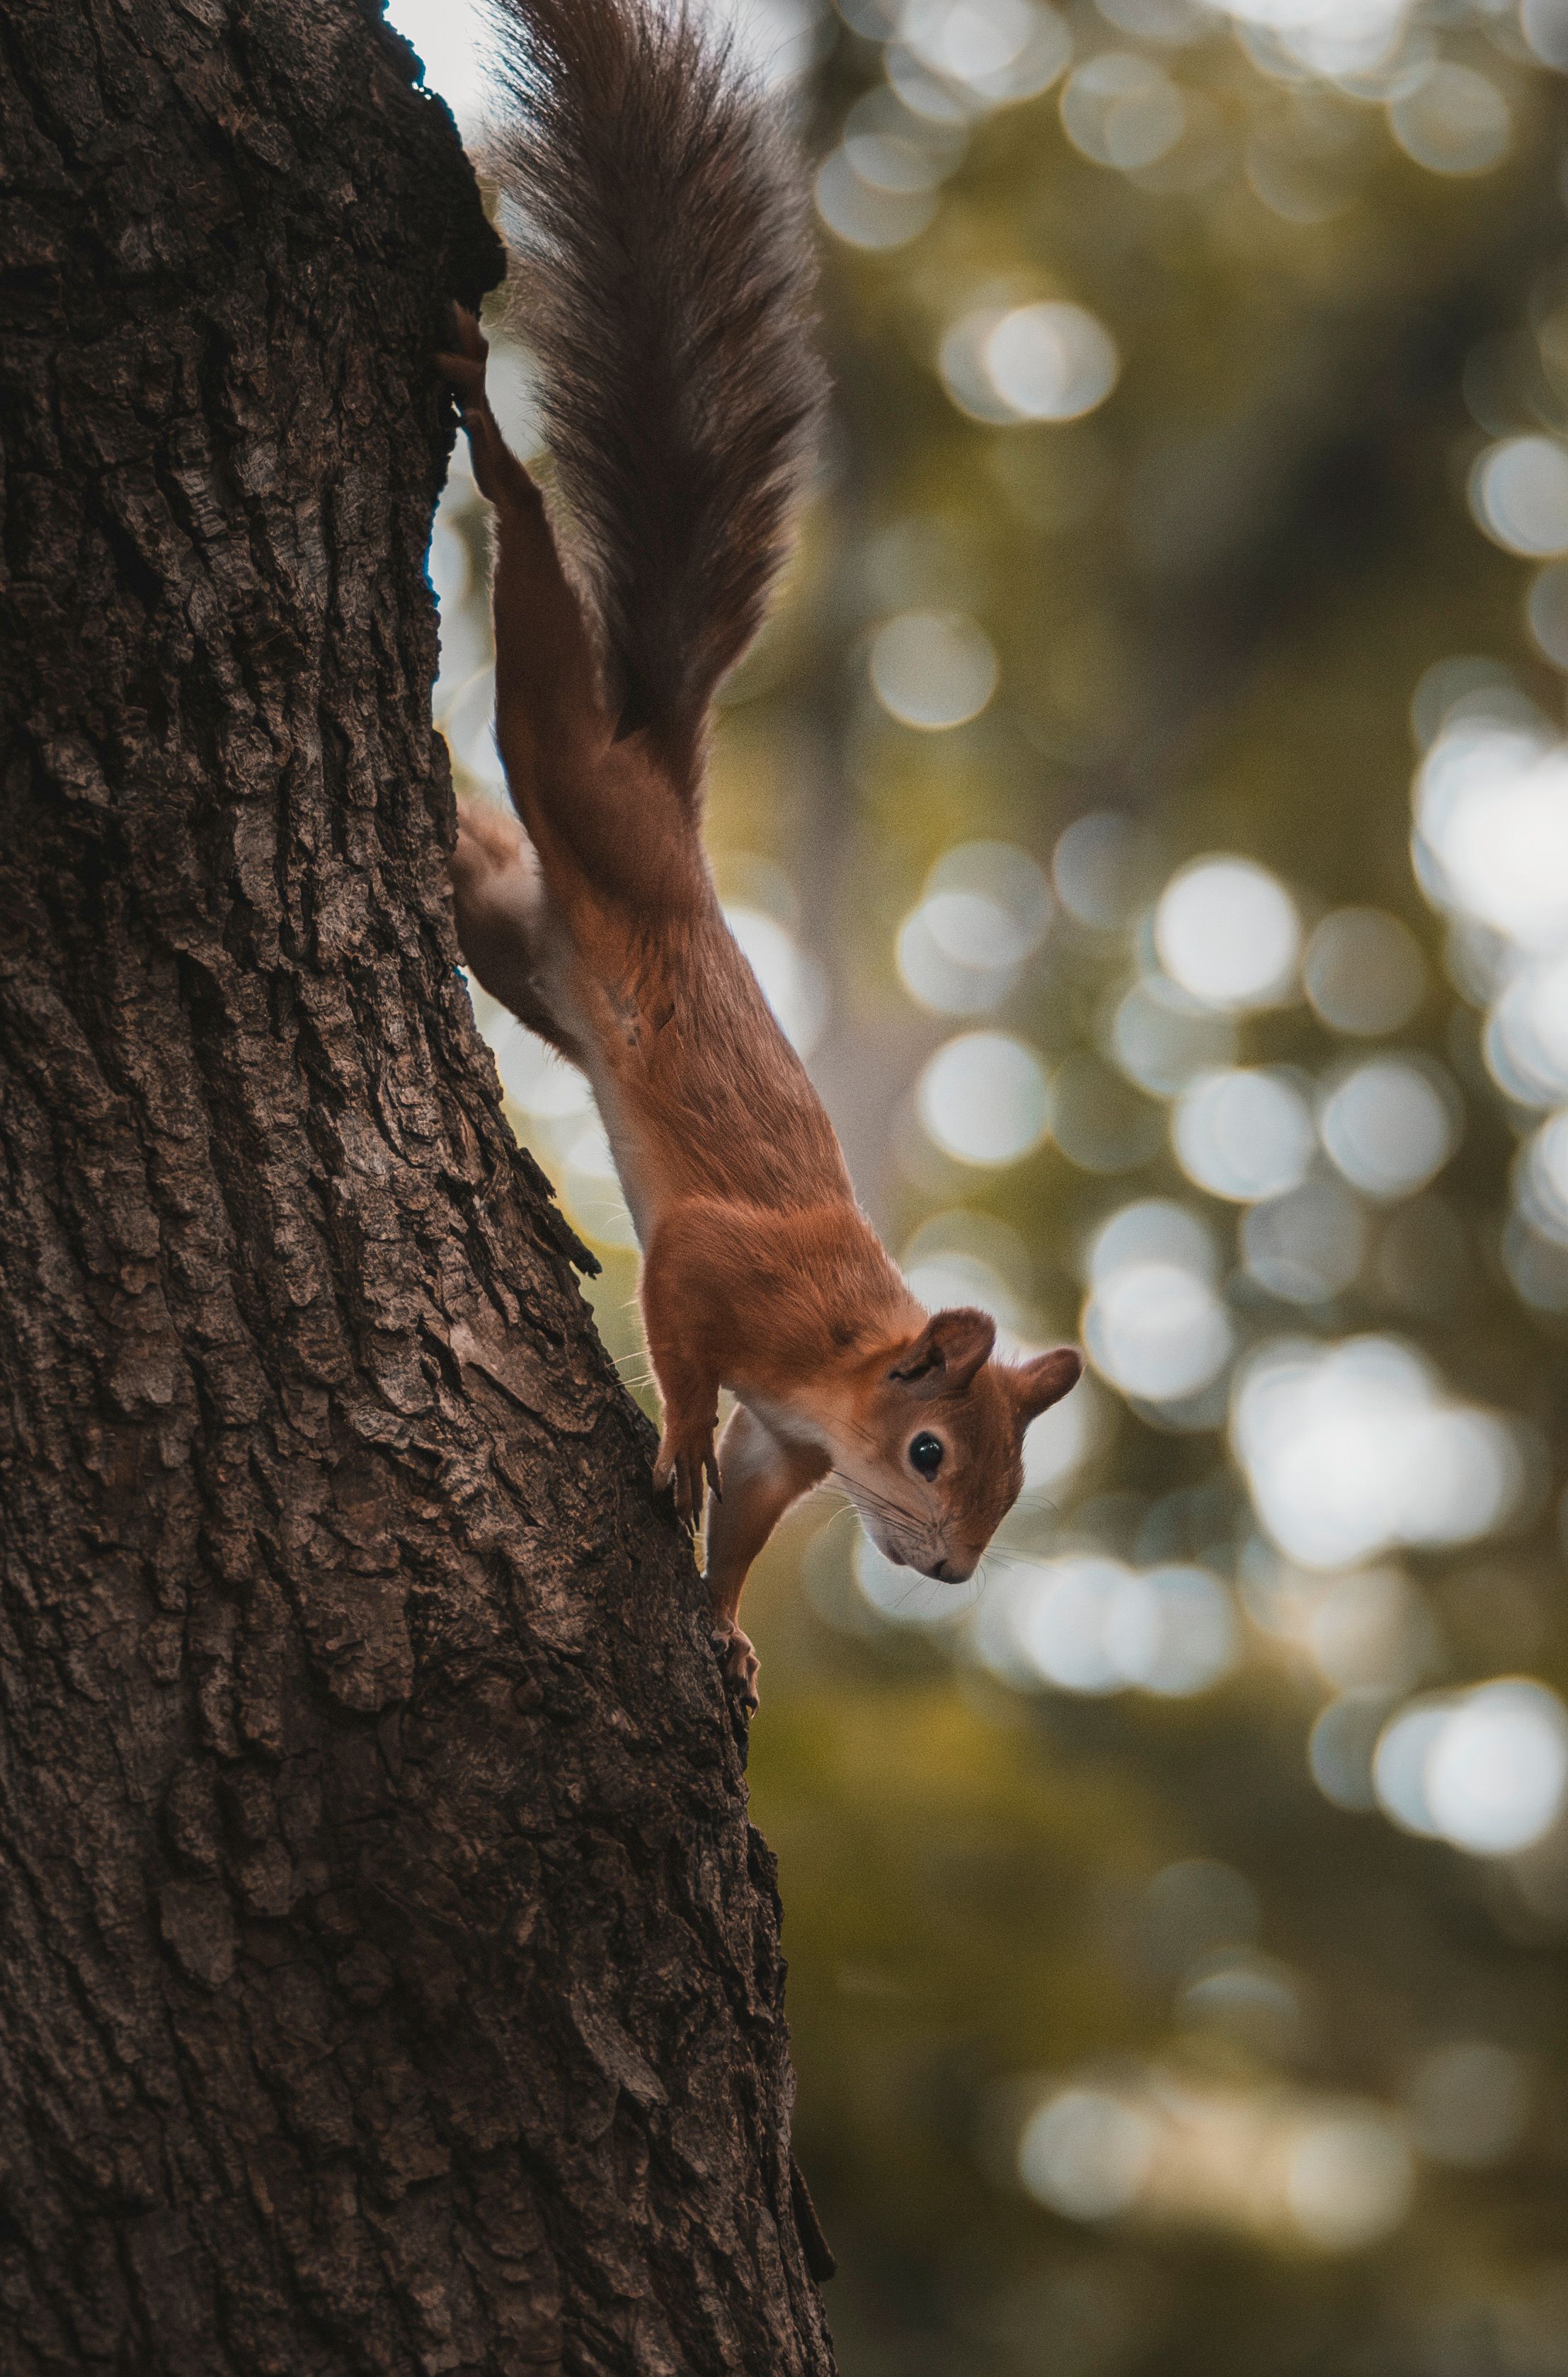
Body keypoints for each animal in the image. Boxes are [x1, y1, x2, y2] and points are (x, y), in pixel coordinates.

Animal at [438, 0, 1082, 1711]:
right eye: (931, 1452)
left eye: (1009, 1488)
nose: (948, 1571)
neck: (845, 1360)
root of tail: (669, 783)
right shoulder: (724, 1270)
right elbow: (680, 1337)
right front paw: (666, 1443)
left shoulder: (794, 1456)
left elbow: (746, 1524)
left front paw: (724, 1626)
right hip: (581, 775)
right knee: (536, 634)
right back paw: (491, 447)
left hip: (526, 939)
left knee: (482, 881)